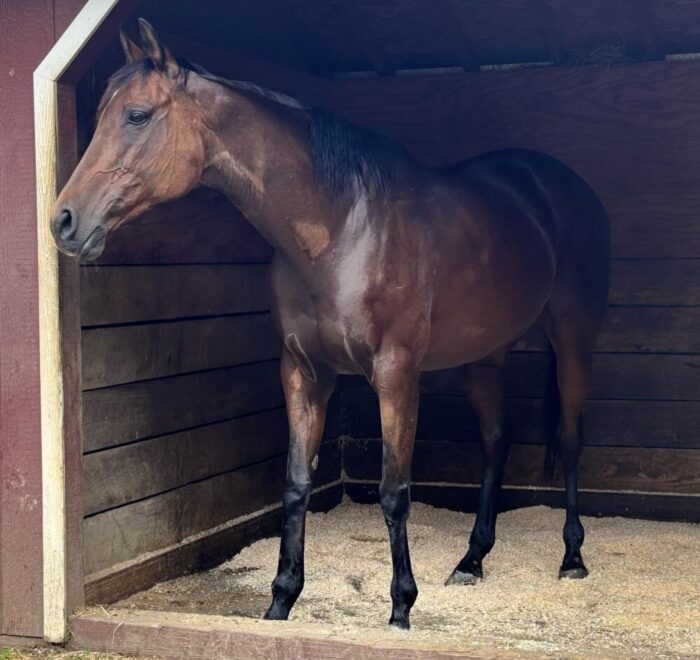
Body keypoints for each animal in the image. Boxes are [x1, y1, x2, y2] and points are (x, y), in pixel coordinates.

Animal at [51, 20, 610, 629]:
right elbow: (296, 483)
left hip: (573, 336)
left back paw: (573, 556)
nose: (64, 221)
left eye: (137, 115)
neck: (342, 228)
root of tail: (557, 183)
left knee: (570, 437)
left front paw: (401, 610)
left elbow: (394, 490)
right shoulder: (303, 371)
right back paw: (472, 559)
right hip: (484, 355)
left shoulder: (396, 375)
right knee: (496, 439)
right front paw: (280, 601)